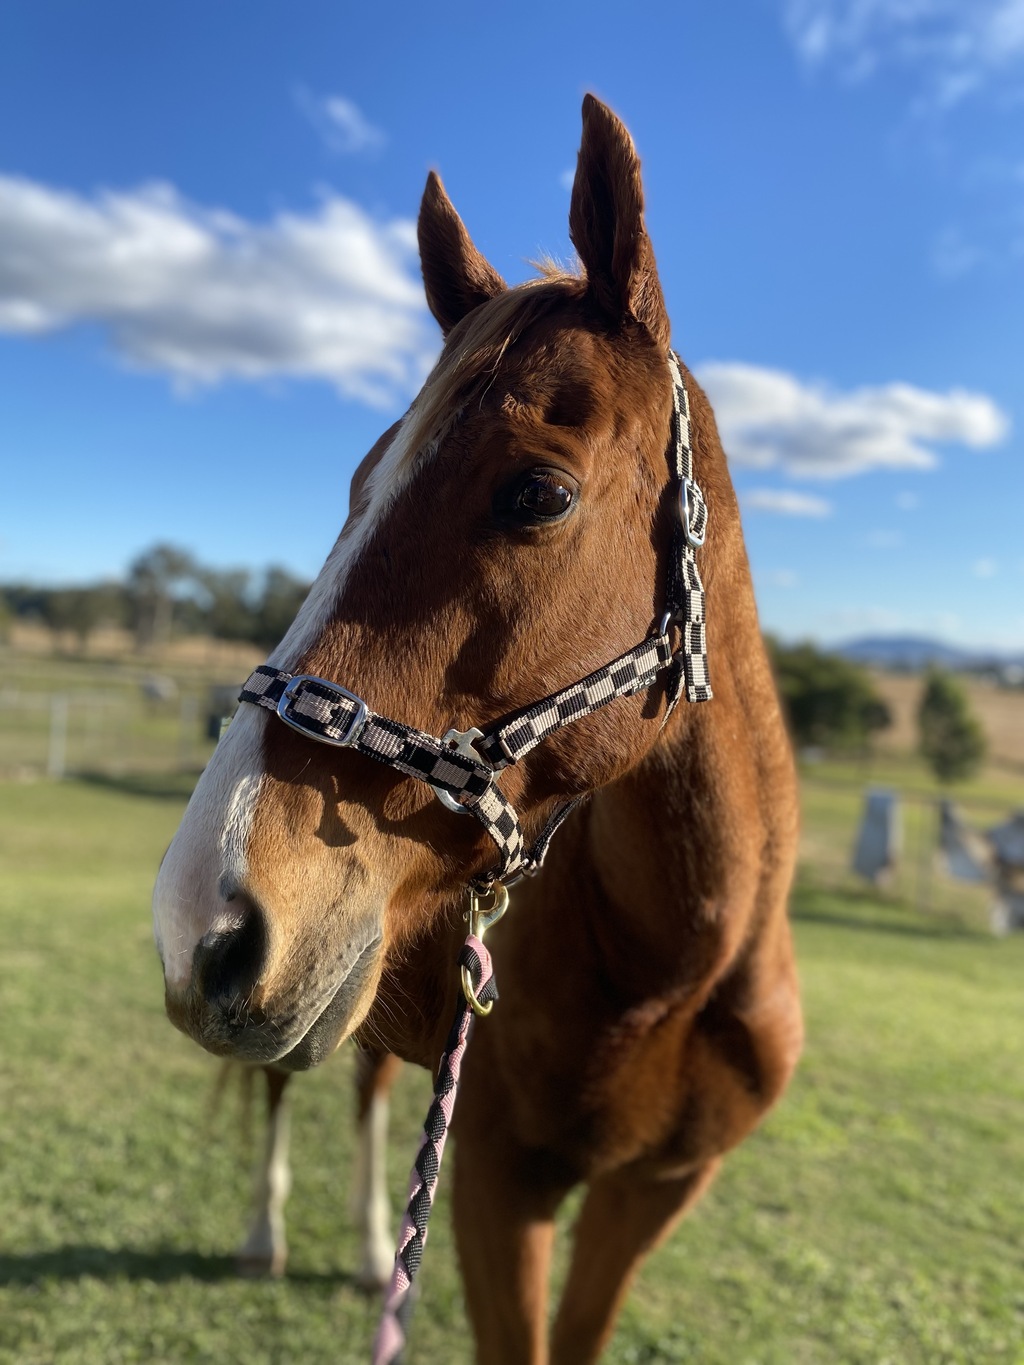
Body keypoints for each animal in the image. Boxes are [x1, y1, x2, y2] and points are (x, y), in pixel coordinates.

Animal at [153, 94, 803, 1363]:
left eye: (537, 493)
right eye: (356, 485)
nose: (202, 923)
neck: (676, 959)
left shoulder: (651, 1194)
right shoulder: (503, 1188)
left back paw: (370, 1255)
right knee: (284, 1095)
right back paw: (266, 1234)